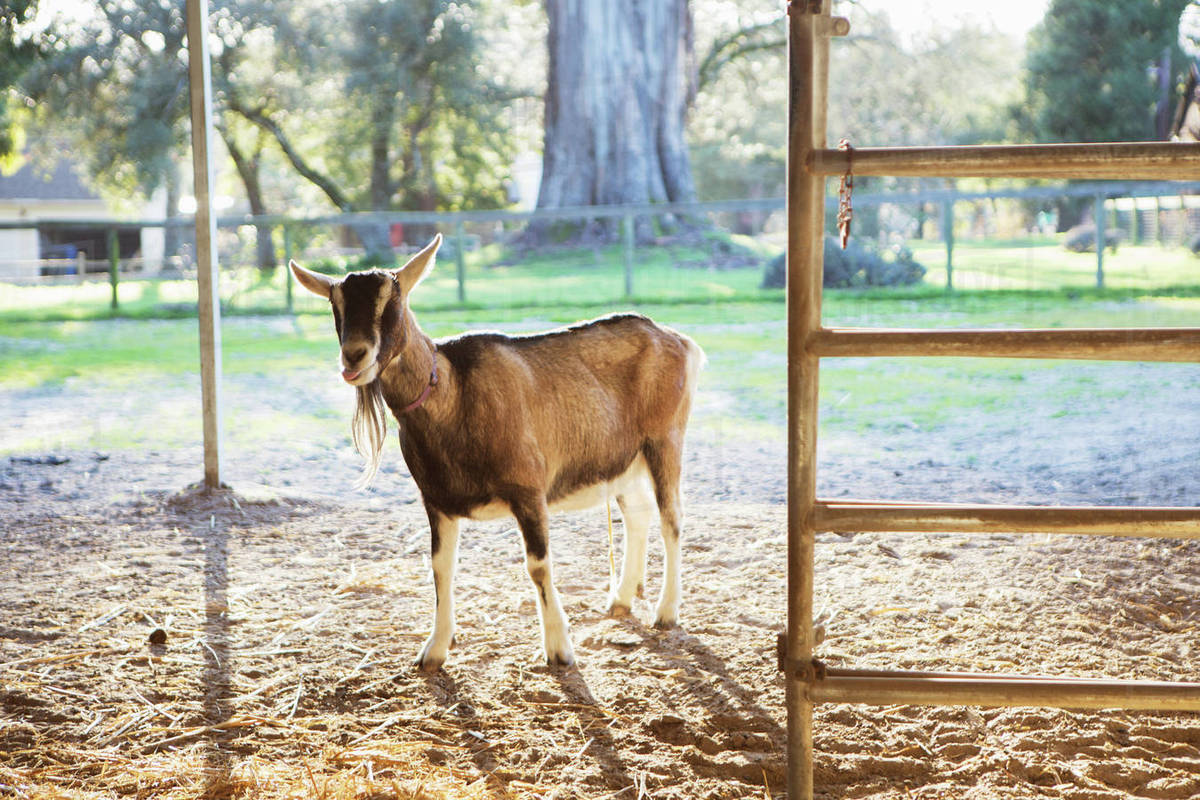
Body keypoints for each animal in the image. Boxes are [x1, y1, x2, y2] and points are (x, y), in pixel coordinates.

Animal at [290, 235, 705, 671]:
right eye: (335, 306)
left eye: (393, 302)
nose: (355, 355)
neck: (454, 392)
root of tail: (679, 341)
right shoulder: (436, 500)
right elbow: (441, 567)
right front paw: (434, 650)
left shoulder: (528, 489)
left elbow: (537, 565)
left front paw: (559, 649)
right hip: (620, 459)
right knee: (638, 513)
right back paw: (620, 600)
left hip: (665, 440)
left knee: (672, 519)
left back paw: (666, 612)